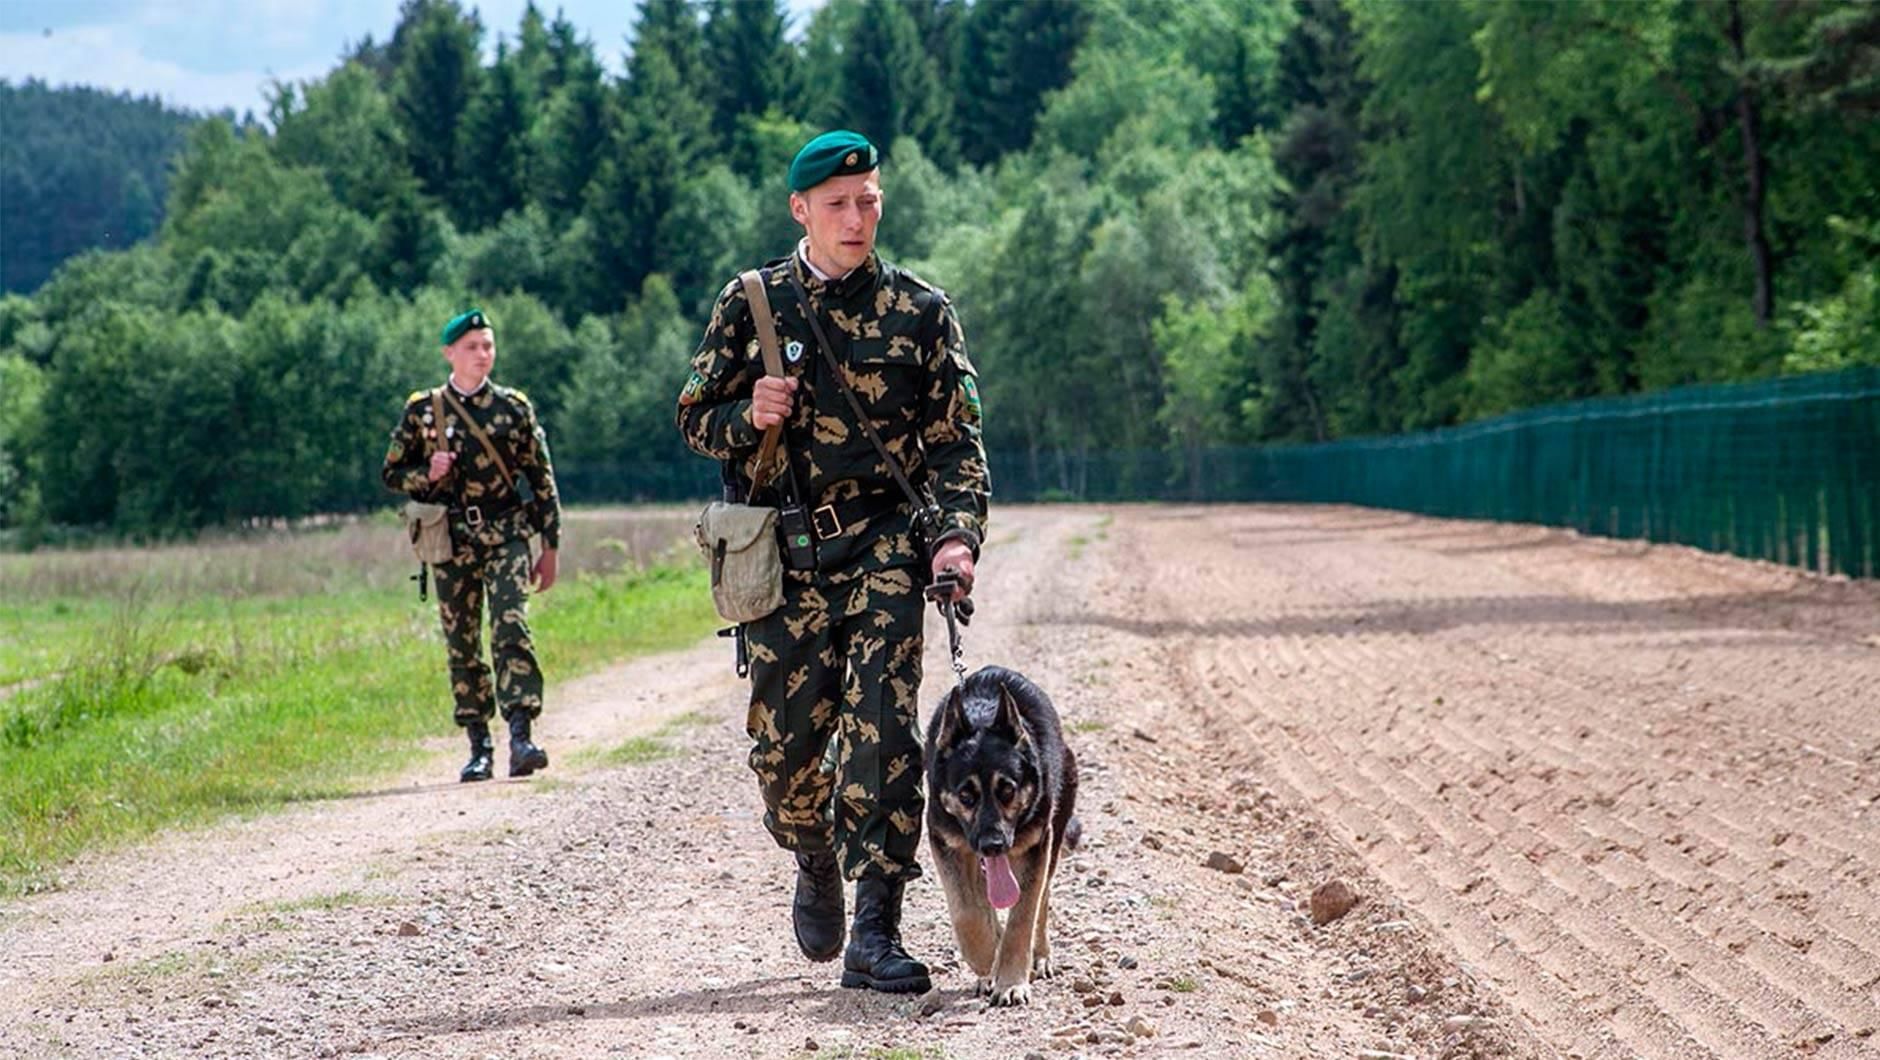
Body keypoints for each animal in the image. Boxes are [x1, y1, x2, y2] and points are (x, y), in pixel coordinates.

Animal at [921, 665, 1082, 1007]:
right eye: (966, 796)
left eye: (1007, 790)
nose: (993, 845)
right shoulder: (945, 842)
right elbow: (967, 912)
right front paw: (985, 959)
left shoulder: (1036, 845)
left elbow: (1022, 918)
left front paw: (1010, 982)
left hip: (1051, 838)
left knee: (1042, 900)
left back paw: (1039, 956)